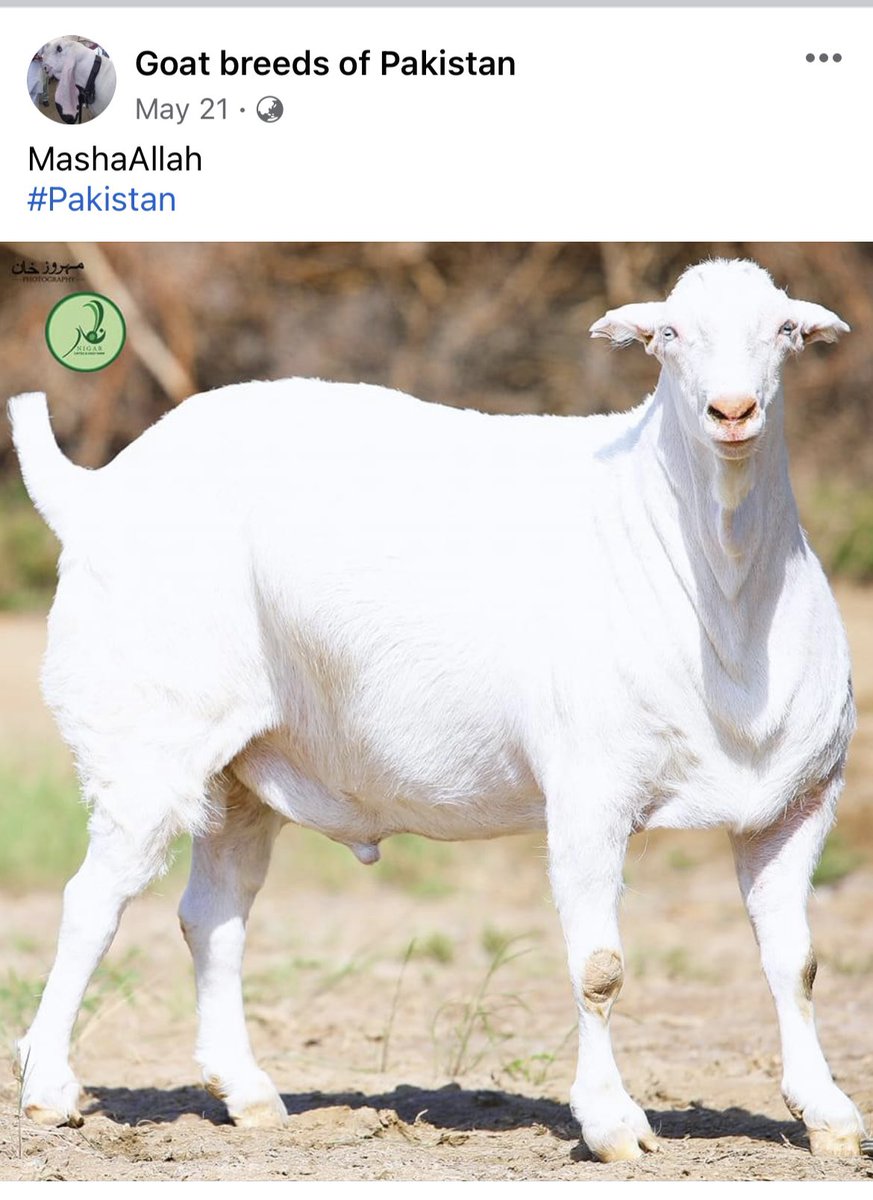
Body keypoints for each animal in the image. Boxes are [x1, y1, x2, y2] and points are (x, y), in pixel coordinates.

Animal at [9, 259, 868, 1162]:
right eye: (666, 334)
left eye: (783, 330)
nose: (731, 412)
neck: (721, 591)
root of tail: (93, 495)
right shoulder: (590, 790)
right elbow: (599, 968)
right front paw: (612, 1125)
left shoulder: (796, 803)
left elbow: (796, 962)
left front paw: (827, 1114)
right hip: (141, 735)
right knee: (92, 901)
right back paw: (49, 1090)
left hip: (245, 767)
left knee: (212, 914)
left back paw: (247, 1094)